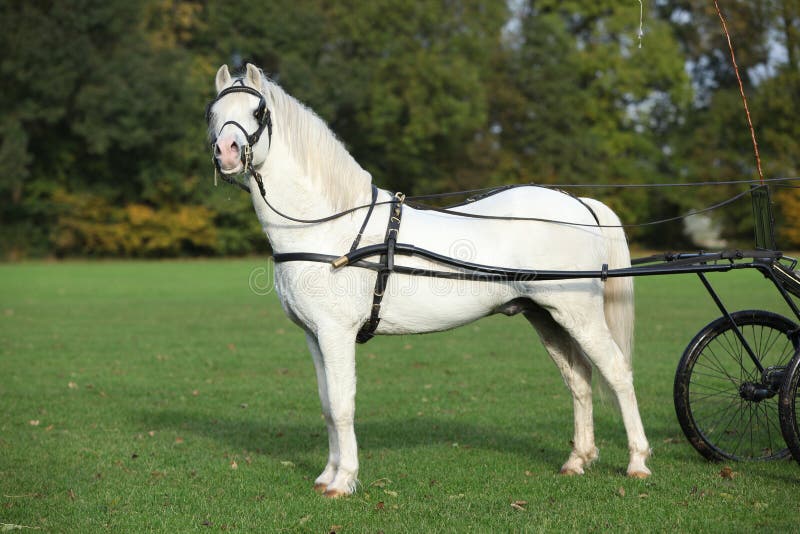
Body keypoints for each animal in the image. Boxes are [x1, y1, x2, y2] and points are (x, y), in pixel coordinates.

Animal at [206, 63, 651, 498]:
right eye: (213, 114)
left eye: (258, 112)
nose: (225, 152)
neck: (329, 228)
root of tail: (578, 204)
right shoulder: (314, 336)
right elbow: (328, 406)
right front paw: (326, 475)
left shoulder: (336, 333)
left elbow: (343, 405)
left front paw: (344, 480)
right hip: (545, 316)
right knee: (579, 379)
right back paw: (578, 460)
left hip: (580, 314)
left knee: (617, 372)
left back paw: (637, 462)